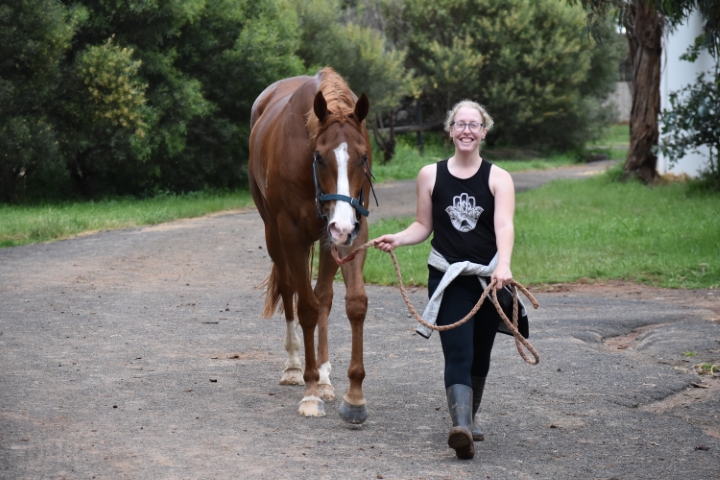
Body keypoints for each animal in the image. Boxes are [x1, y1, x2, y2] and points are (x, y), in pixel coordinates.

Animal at [248, 68, 373, 423]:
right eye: (319, 156)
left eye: (363, 156)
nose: (342, 225)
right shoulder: (290, 233)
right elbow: (305, 307)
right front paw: (310, 392)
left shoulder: (353, 231)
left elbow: (352, 303)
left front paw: (351, 394)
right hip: (275, 235)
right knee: (290, 289)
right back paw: (294, 366)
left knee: (324, 299)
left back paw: (325, 375)